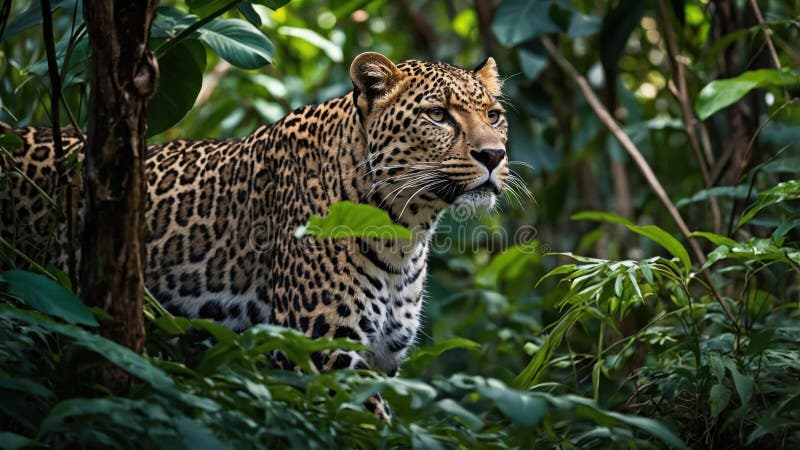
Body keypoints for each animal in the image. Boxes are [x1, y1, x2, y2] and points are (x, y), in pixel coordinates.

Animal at [0, 52, 509, 420]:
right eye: (438, 115)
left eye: (494, 114)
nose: (494, 155)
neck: (406, 231)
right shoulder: (318, 356)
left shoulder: (379, 361)